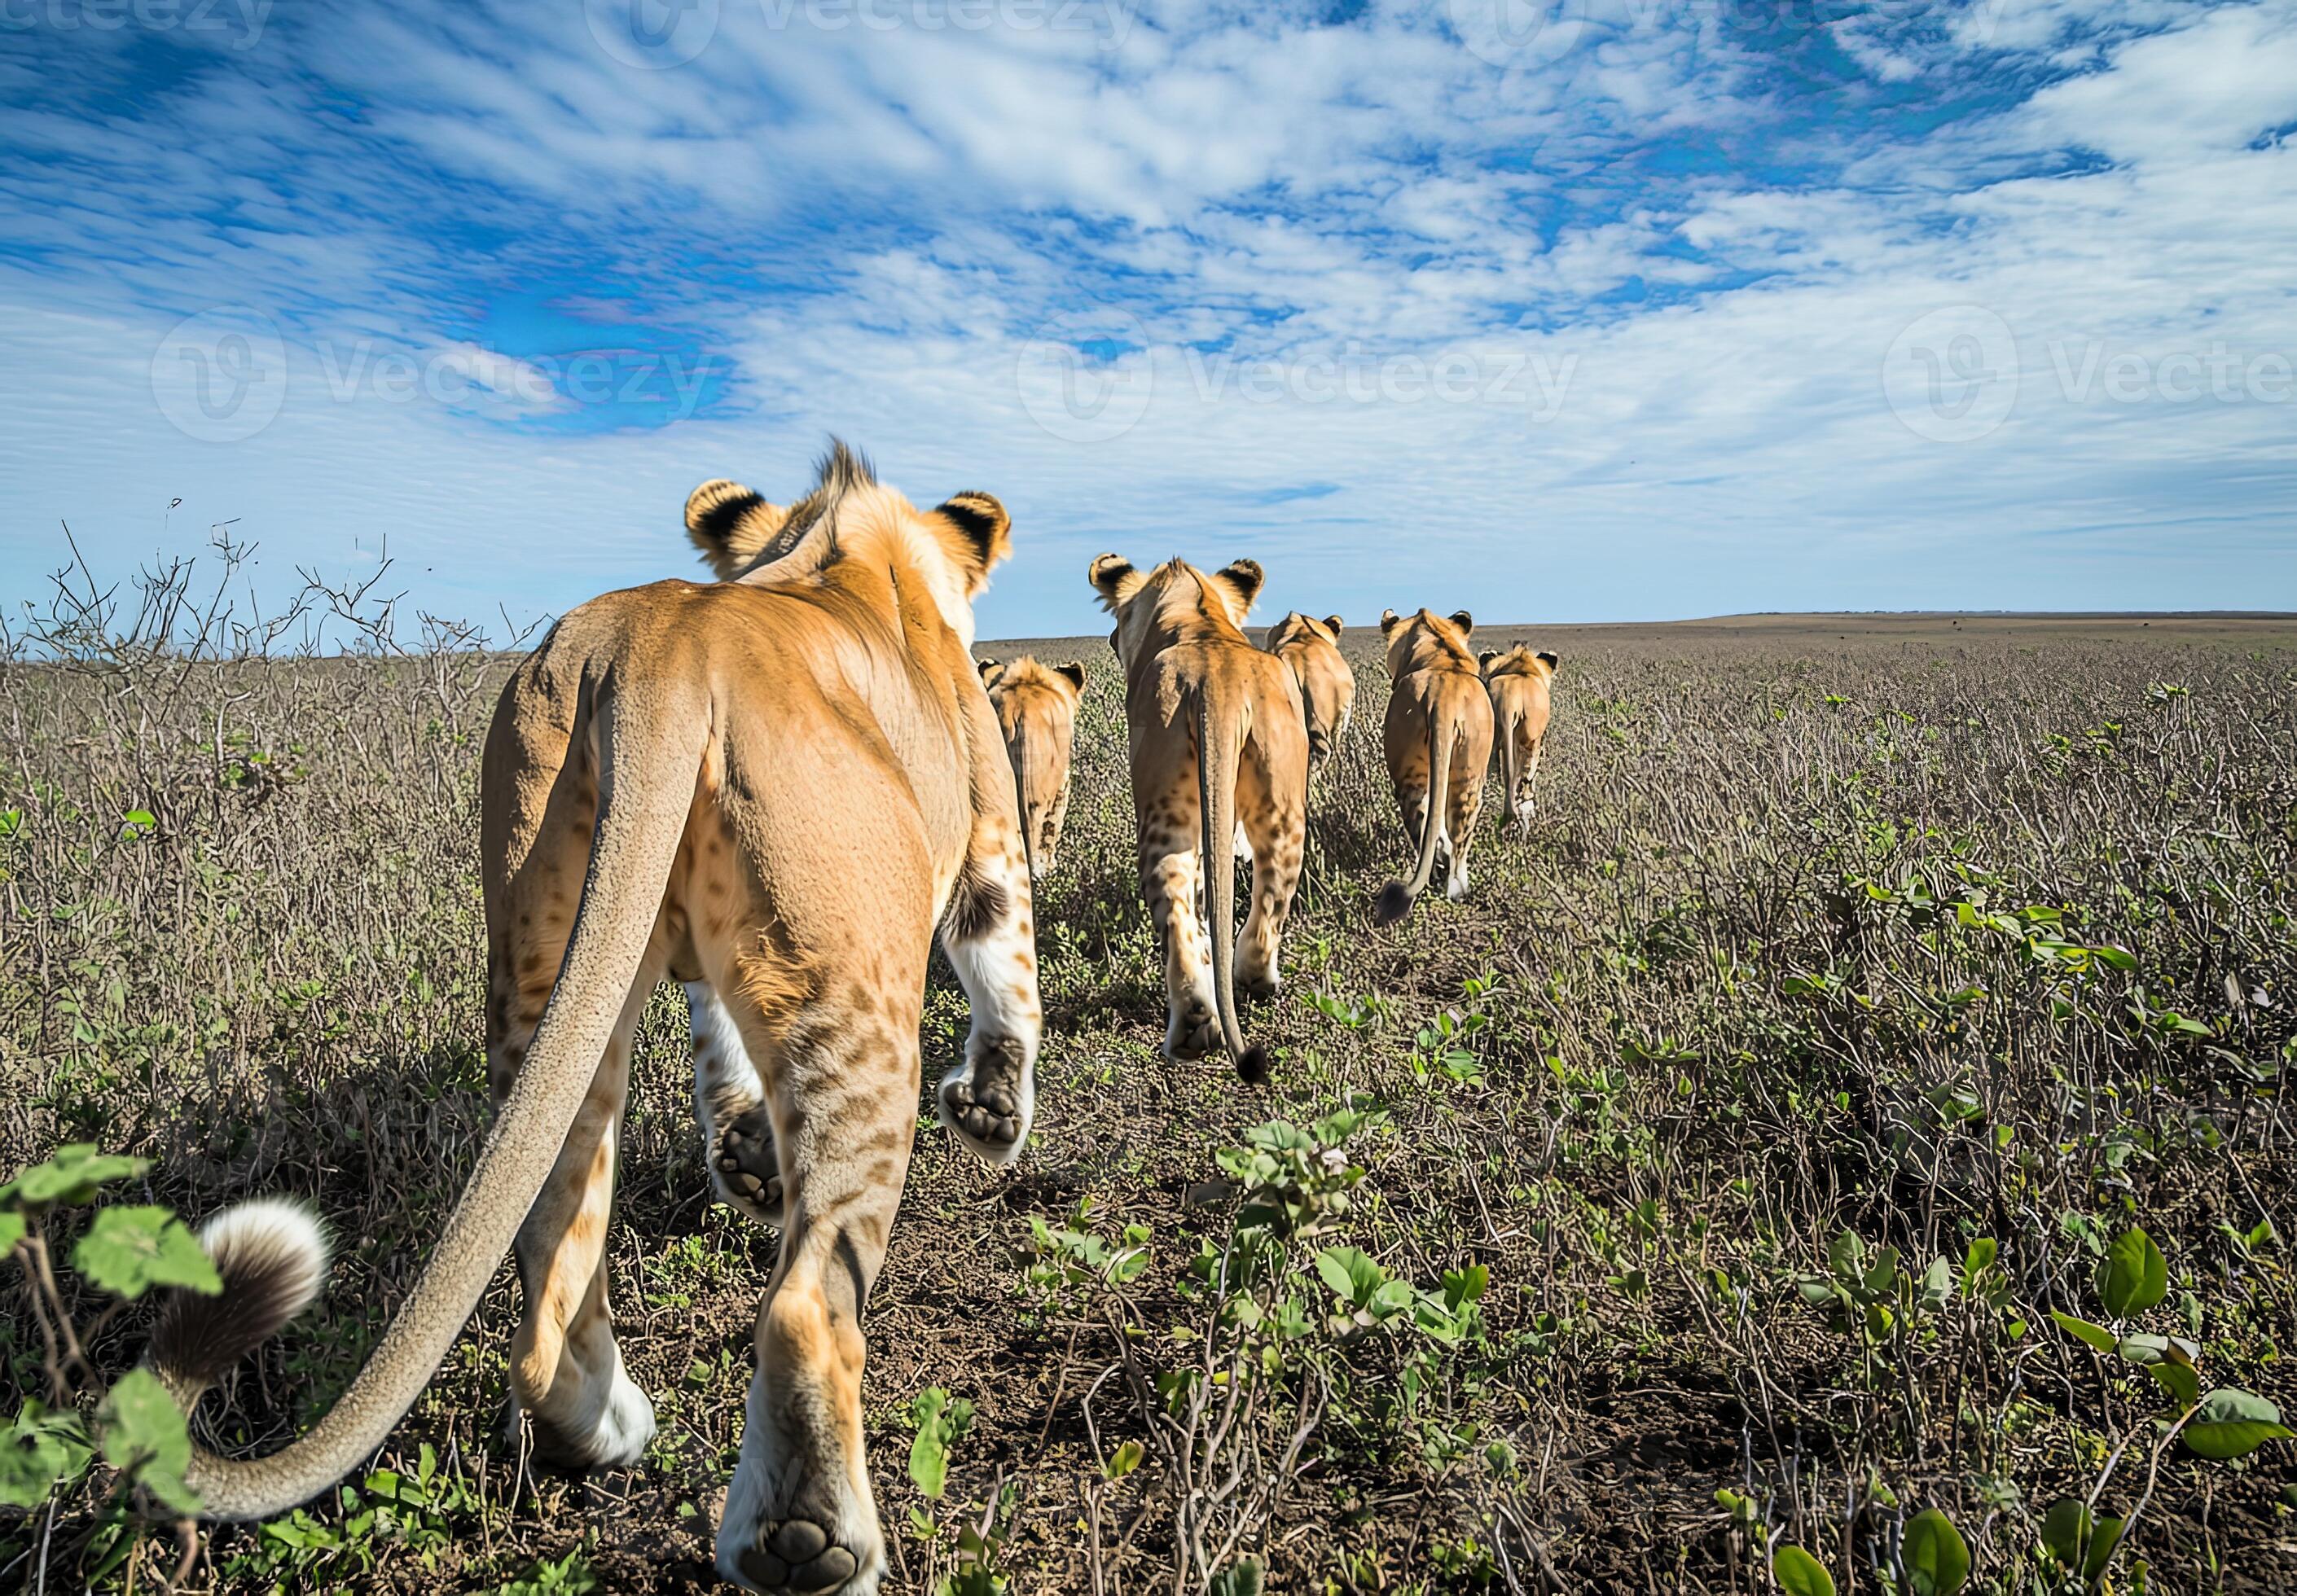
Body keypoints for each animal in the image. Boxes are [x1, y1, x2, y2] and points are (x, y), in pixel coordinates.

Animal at [141, 445, 1040, 1596]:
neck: (843, 546)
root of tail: (661, 650)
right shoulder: (990, 827)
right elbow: (1008, 974)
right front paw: (994, 1116)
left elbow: (715, 1040)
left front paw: (746, 1160)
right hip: (857, 988)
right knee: (806, 1302)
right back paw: (807, 1539)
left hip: (551, 971)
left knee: (550, 1260)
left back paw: (596, 1427)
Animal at [1090, 554, 1308, 1081]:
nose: (1111, 639)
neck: (1196, 611)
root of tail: (1217, 685)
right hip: (1283, 804)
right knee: (1272, 894)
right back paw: (1252, 980)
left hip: (1163, 811)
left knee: (1174, 904)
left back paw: (1191, 1027)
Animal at [1374, 608, 1495, 925]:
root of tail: (1444, 697)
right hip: (1470, 774)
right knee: (1459, 839)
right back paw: (1457, 888)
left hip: (1408, 774)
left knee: (1423, 825)